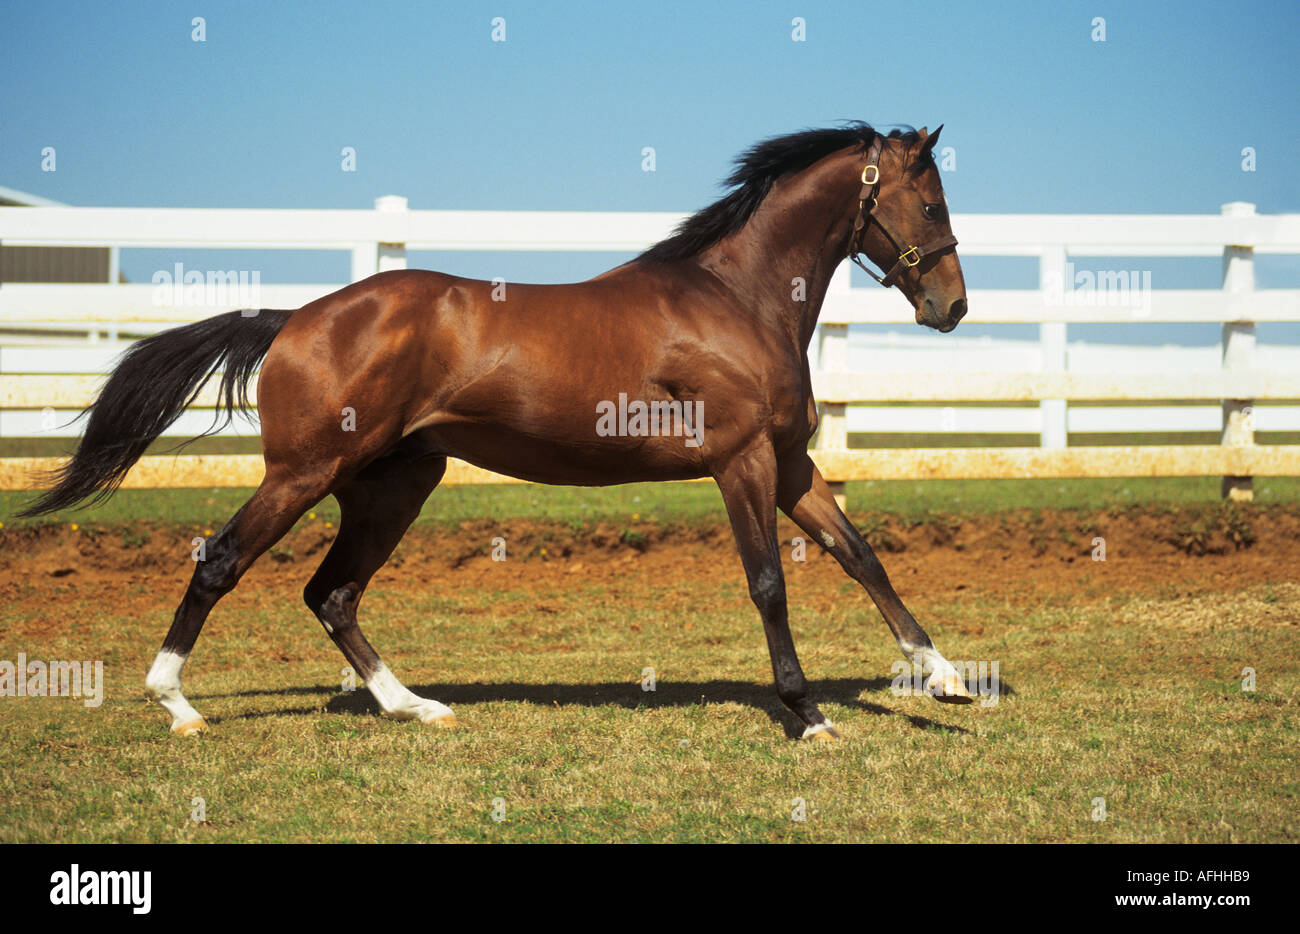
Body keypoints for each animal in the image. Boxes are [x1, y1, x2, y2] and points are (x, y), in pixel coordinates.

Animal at [20, 122, 972, 741]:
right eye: (930, 203)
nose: (951, 307)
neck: (735, 299)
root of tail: (294, 319)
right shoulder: (740, 465)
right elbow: (770, 583)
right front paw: (807, 714)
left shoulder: (790, 464)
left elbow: (862, 556)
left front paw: (948, 680)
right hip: (304, 473)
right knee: (223, 562)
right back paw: (176, 704)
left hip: (394, 483)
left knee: (331, 592)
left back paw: (413, 706)